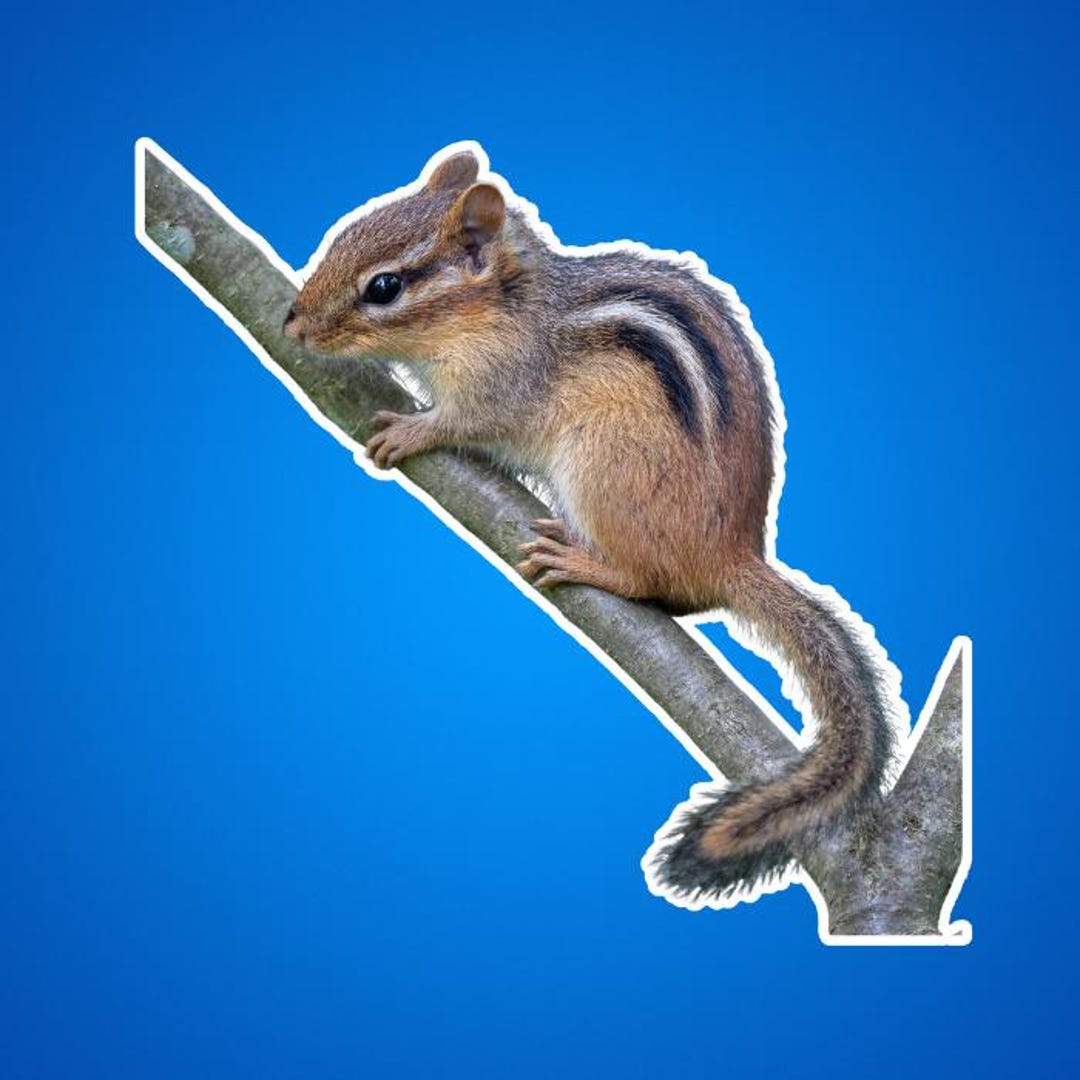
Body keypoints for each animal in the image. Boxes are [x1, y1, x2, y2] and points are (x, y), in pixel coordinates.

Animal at [283, 144, 894, 902]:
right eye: (340, 238)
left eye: (385, 287)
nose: (292, 321)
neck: (504, 305)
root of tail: (733, 554)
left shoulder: (500, 381)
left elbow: (468, 421)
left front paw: (411, 431)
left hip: (604, 464)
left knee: (648, 577)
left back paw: (585, 562)